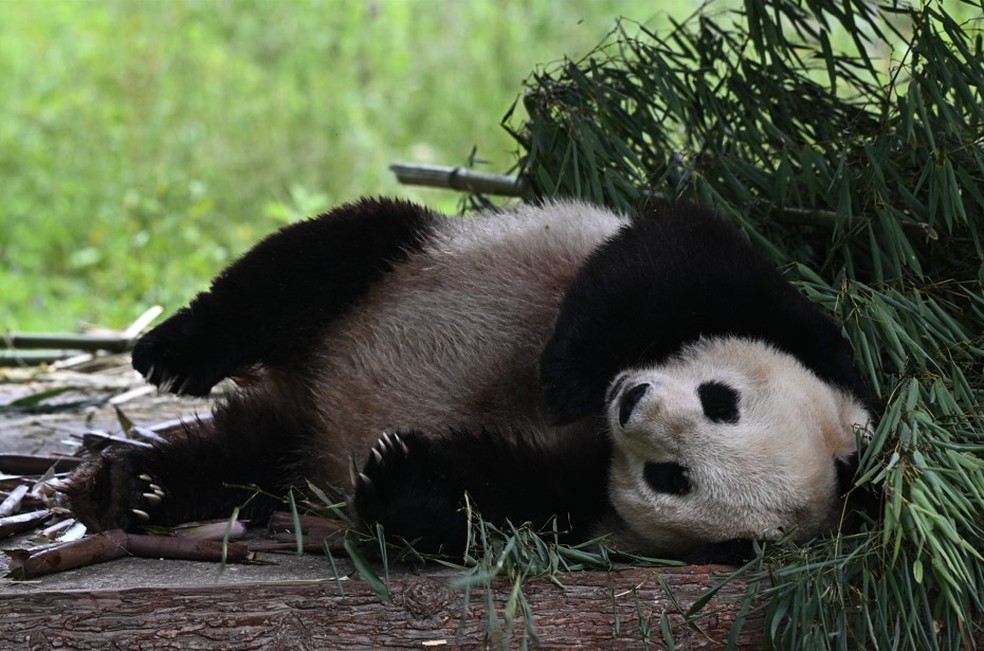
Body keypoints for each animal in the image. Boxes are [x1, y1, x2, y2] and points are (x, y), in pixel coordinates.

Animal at [65, 197, 872, 562]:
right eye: (720, 400)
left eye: (673, 477)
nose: (632, 402)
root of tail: (312, 396)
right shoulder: (795, 326)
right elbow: (673, 251)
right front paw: (564, 373)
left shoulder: (578, 504)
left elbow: (480, 505)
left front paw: (395, 470)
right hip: (409, 258)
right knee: (312, 261)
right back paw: (170, 357)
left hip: (292, 445)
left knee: (245, 456)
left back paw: (135, 489)